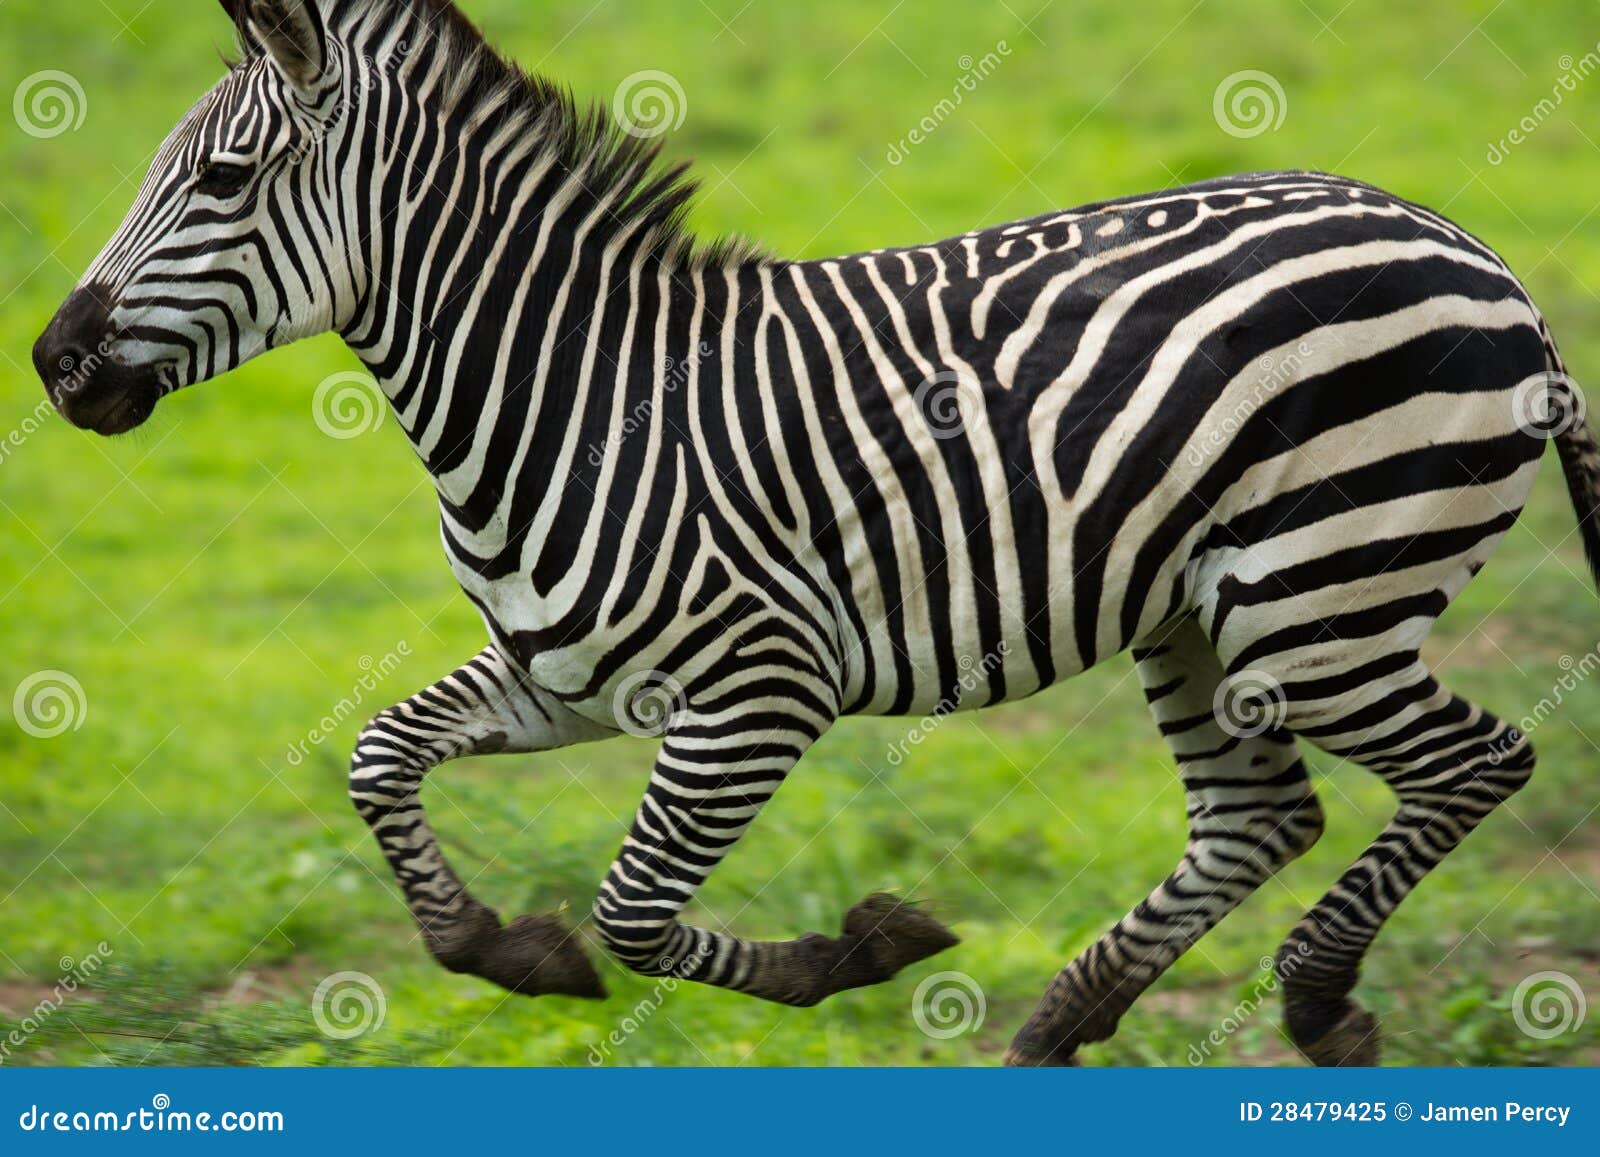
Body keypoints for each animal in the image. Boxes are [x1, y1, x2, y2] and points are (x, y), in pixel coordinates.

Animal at [32, 0, 1599, 1066]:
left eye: (222, 181)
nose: (52, 364)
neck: (577, 394)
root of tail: (1475, 249)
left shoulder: (759, 688)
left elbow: (635, 909)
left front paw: (855, 950)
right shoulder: (564, 681)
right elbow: (379, 756)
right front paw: (502, 948)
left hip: (1320, 599)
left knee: (1477, 762)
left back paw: (1317, 1001)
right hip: (1201, 614)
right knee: (1259, 814)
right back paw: (1058, 1025)